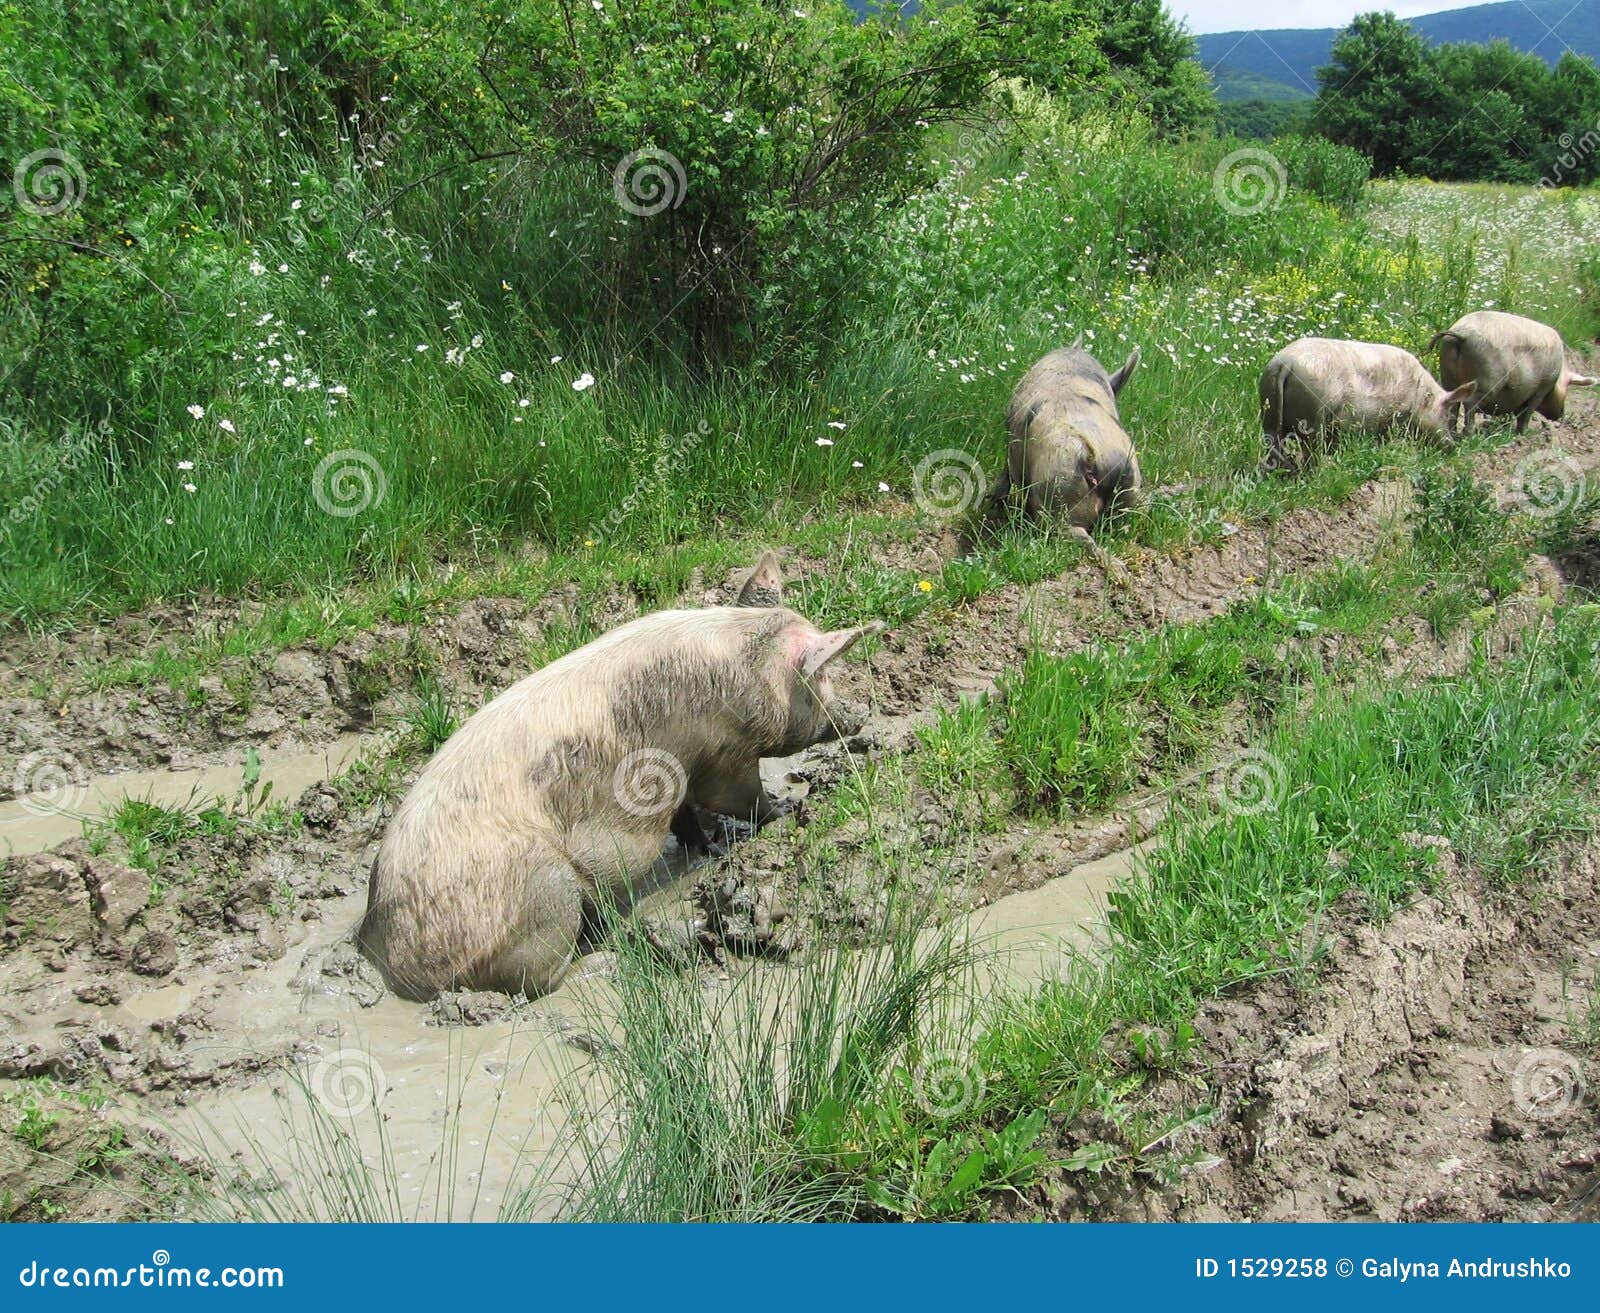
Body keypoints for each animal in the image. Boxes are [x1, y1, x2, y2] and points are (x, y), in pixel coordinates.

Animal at [357, 603, 879, 1001]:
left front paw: (707, 847)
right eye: (824, 677)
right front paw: (787, 809)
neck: (752, 667)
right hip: (542, 891)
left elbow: (686, 814)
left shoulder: (681, 769)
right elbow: (737, 797)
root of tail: (402, 966)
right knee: (535, 981)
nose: (862, 713)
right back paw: (599, 961)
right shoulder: (723, 751)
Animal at [1258, 337, 1475, 471]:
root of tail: (1285, 363)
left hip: (1268, 410)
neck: (1420, 395)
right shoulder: (1390, 417)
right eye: (1446, 413)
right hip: (1314, 415)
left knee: (1273, 445)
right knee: (1311, 452)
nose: (1452, 446)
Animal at [1428, 311, 1596, 434]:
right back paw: (1469, 434)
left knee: (1453, 403)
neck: (1558, 375)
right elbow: (1527, 412)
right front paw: (1523, 433)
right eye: (1567, 389)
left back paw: (1453, 433)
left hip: (1448, 375)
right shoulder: (1542, 387)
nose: (1560, 415)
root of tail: (1462, 332)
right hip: (1487, 380)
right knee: (1469, 404)